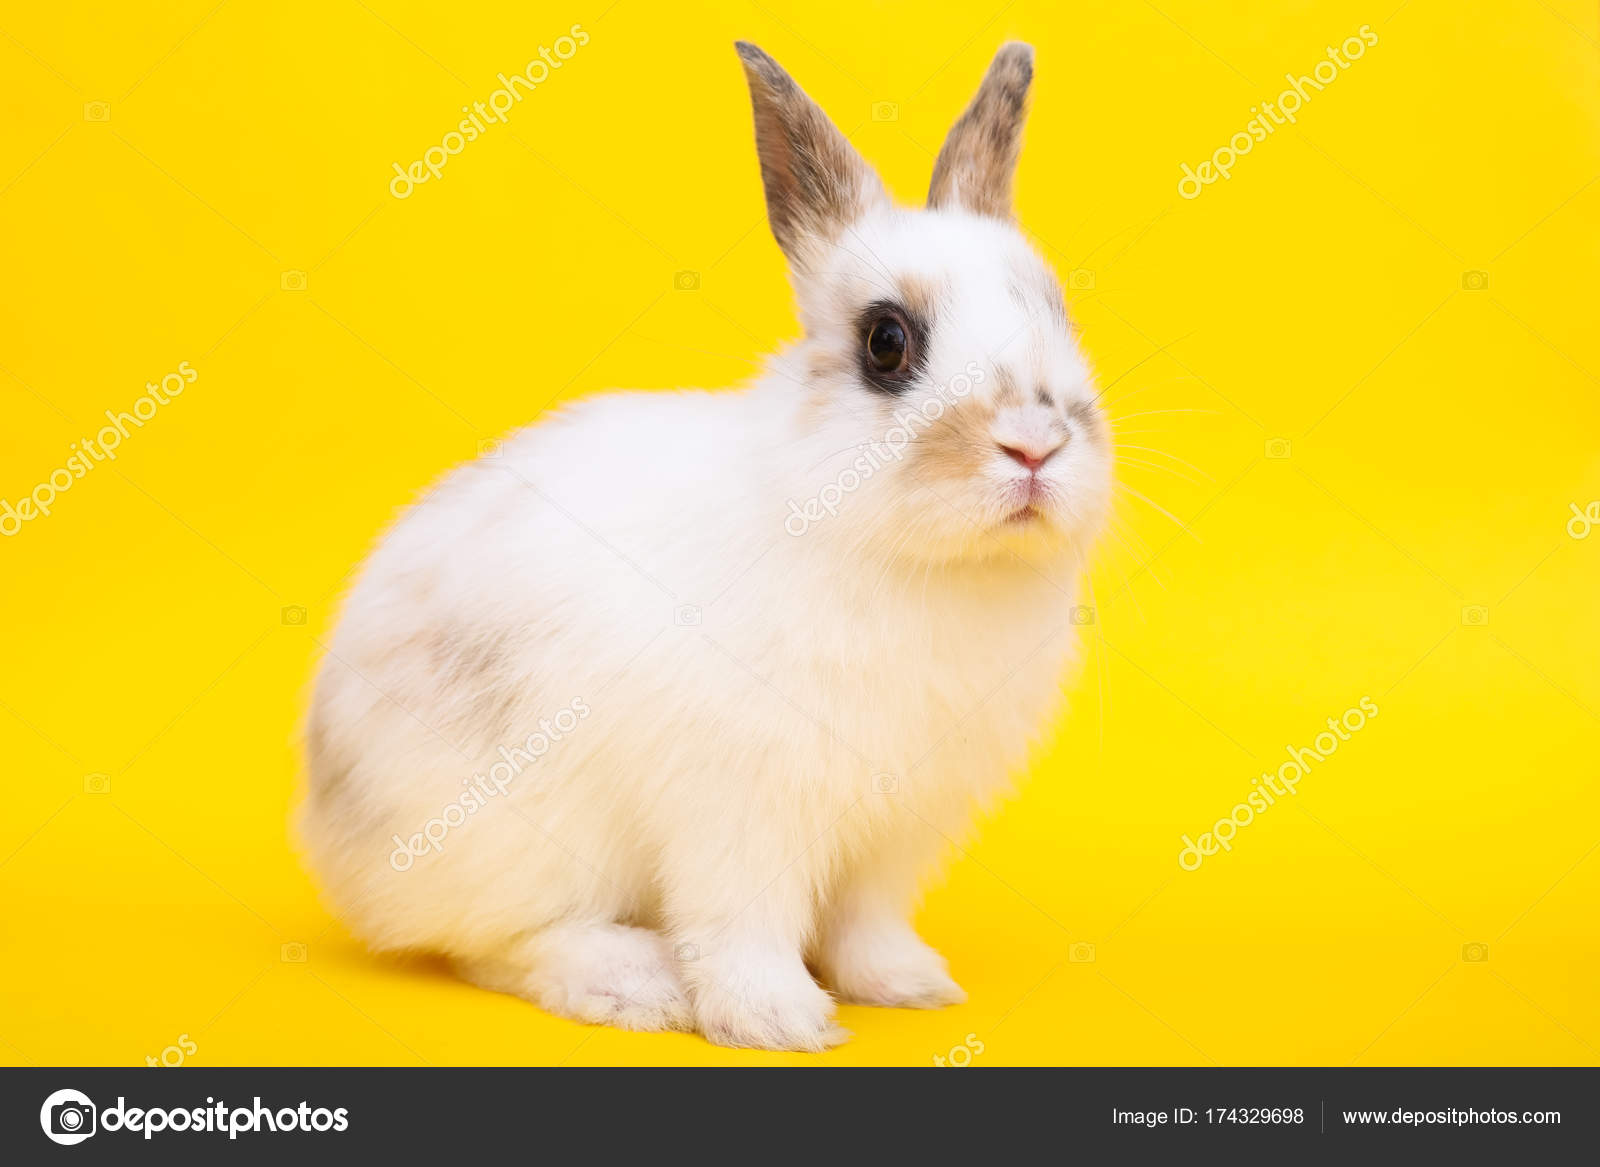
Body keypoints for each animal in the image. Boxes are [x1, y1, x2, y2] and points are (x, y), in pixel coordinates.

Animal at [301, 40, 1111, 1052]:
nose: (1036, 445)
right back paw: (633, 985)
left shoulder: (897, 830)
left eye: (1059, 312)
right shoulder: (741, 811)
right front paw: (780, 1020)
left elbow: (866, 920)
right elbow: (743, 922)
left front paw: (909, 985)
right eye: (887, 342)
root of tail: (330, 829)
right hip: (521, 837)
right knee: (494, 943)